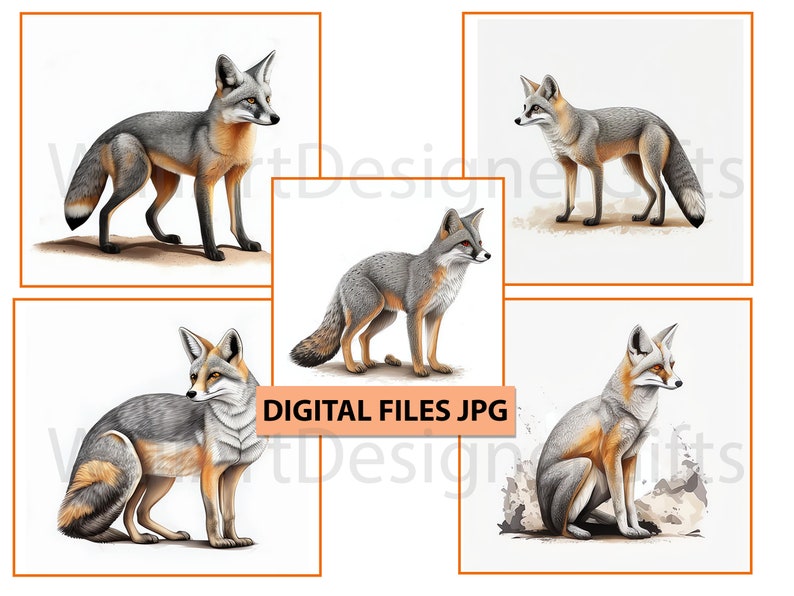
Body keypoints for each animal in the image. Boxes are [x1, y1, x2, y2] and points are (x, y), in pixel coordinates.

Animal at [57, 327, 267, 548]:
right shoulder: (210, 472)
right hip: (132, 474)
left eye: (214, 375)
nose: (190, 394)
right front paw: (217, 541)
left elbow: (229, 513)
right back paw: (138, 539)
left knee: (139, 513)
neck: (237, 428)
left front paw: (235, 538)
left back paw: (165, 536)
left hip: (157, 480)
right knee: (121, 514)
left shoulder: (232, 472)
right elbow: (213, 514)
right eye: (194, 376)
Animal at [63, 52, 279, 261]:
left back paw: (165, 238)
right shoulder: (203, 181)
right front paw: (211, 253)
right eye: (250, 100)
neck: (233, 146)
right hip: (136, 180)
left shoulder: (234, 178)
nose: (276, 118)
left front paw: (245, 243)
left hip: (170, 184)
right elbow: (207, 224)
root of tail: (111, 129)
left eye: (268, 99)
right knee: (104, 211)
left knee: (148, 213)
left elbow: (238, 220)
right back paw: (106, 246)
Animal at [290, 208, 490, 377]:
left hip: (386, 316)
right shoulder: (414, 314)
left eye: (480, 242)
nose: (487, 255)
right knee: (345, 339)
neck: (447, 278)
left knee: (362, 336)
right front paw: (419, 370)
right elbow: (417, 348)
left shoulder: (436, 314)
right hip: (371, 309)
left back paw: (368, 362)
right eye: (465, 243)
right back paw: (352, 367)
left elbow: (431, 348)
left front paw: (436, 366)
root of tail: (344, 276)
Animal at [515, 75, 705, 228]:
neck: (571, 130)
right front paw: (565, 217)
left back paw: (659, 221)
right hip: (631, 167)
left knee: (661, 190)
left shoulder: (596, 167)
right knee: (652, 192)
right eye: (524, 107)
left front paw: (595, 220)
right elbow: (569, 198)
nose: (516, 120)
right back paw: (642, 216)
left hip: (649, 164)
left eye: (535, 108)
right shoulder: (569, 167)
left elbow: (597, 199)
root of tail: (657, 118)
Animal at [535, 324, 683, 540]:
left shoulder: (629, 457)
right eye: (657, 367)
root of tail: (542, 512)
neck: (637, 416)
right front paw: (626, 531)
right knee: (561, 526)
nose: (680, 383)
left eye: (672, 365)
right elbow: (619, 503)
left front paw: (636, 528)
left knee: (582, 515)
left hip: (601, 479)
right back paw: (577, 531)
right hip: (584, 466)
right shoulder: (611, 455)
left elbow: (629, 504)